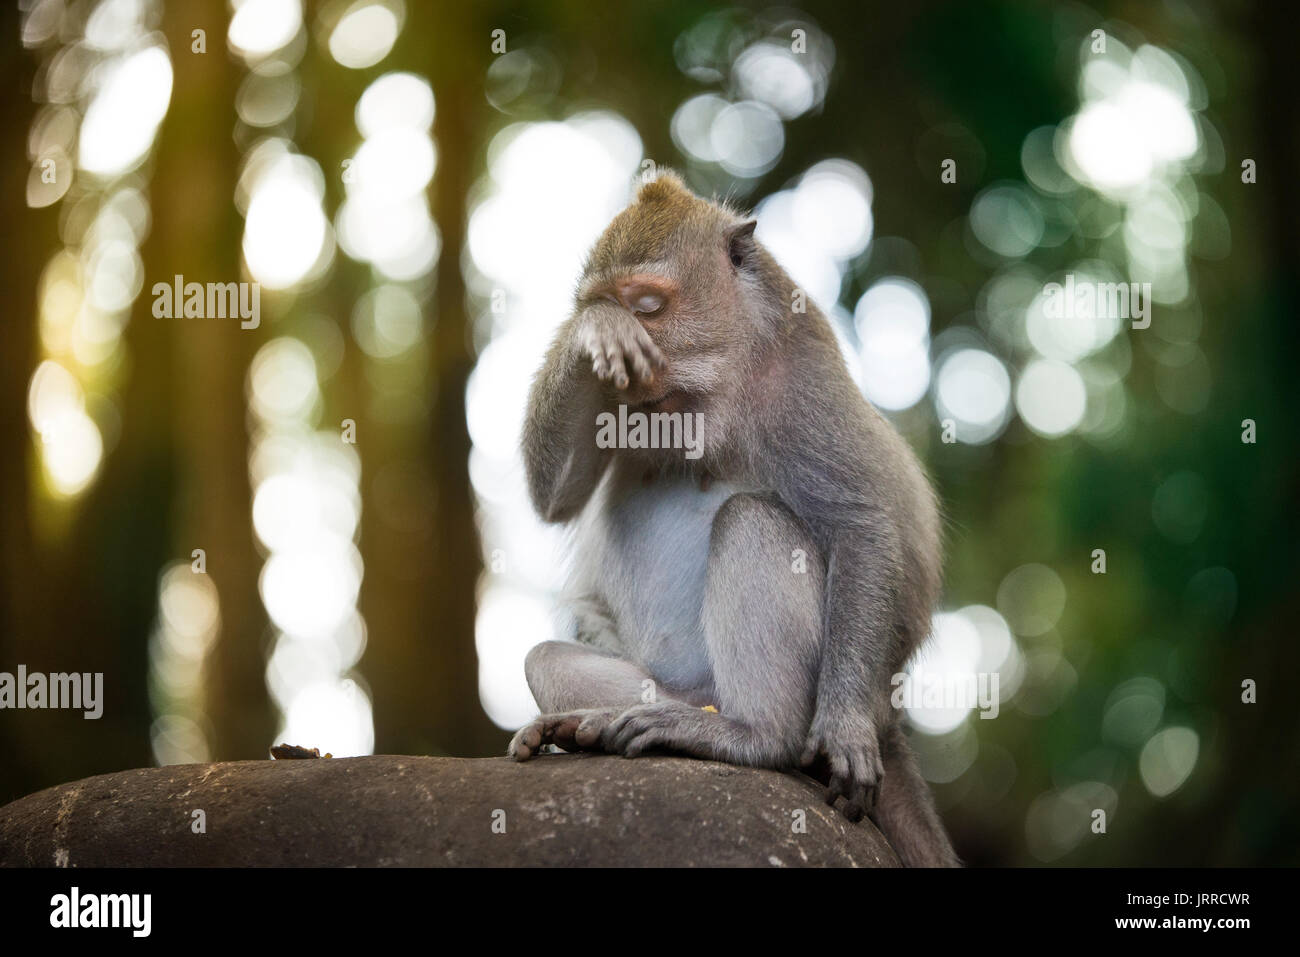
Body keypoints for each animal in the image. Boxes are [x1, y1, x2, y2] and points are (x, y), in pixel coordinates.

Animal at [508, 171, 959, 867]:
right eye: (608, 301)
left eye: (648, 305)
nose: (638, 379)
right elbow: (555, 497)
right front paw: (594, 330)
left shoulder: (803, 382)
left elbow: (860, 525)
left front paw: (843, 729)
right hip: (678, 687)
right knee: (549, 663)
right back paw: (593, 727)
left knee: (751, 520)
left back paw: (756, 736)